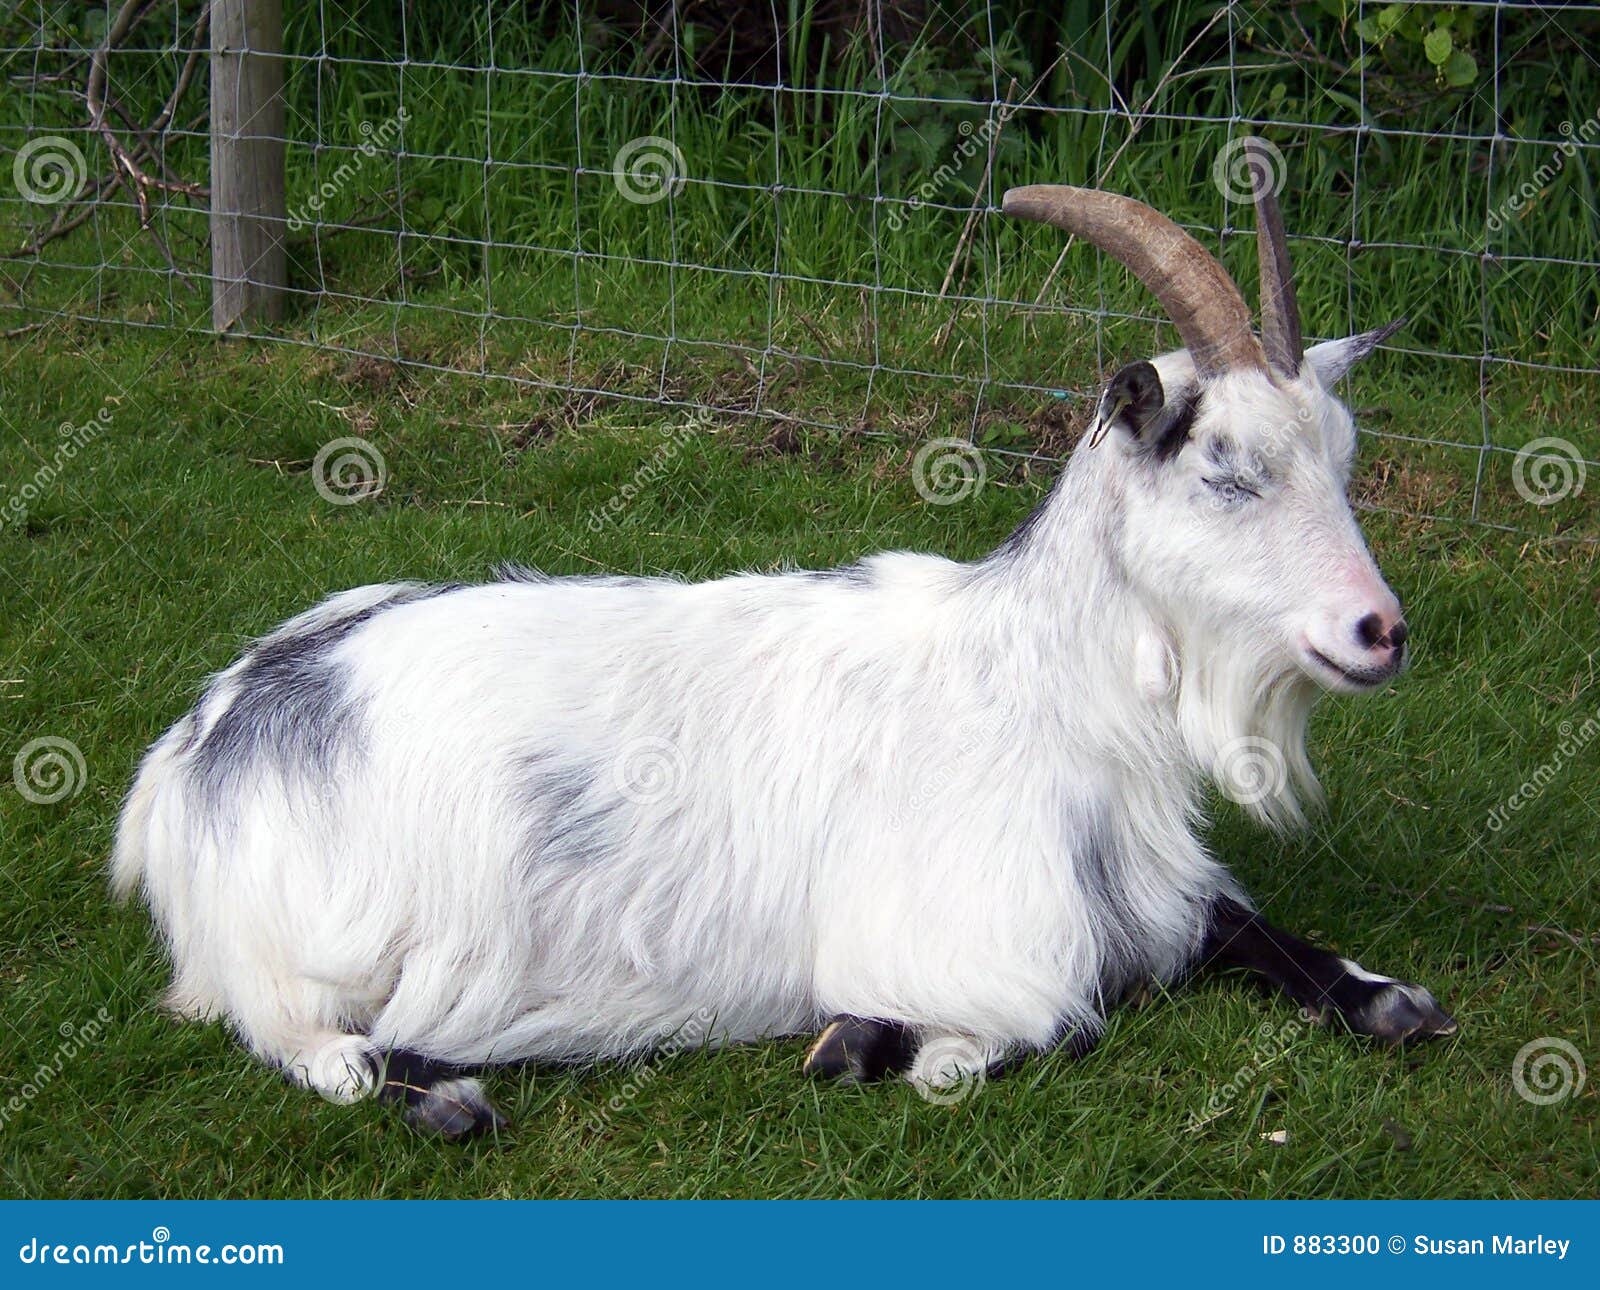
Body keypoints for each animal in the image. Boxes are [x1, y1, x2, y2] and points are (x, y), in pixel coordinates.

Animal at [113, 141, 1455, 1138]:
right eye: (1227, 471)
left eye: (1342, 460)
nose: (1379, 632)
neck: (1042, 689)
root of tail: (200, 748)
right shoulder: (975, 931)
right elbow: (1053, 1019)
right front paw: (874, 1042)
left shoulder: (1146, 889)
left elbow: (1234, 925)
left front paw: (1392, 1000)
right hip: (312, 955)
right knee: (310, 1044)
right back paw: (443, 1095)